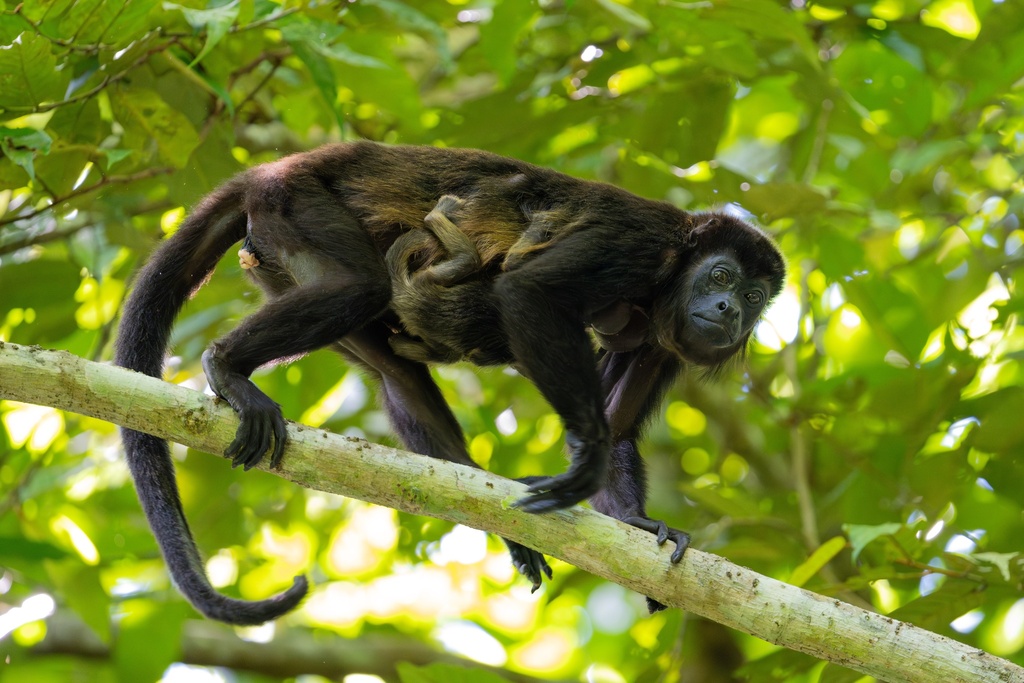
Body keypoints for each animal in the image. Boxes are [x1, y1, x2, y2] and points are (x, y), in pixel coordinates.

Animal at [114, 141, 785, 624]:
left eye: (754, 297)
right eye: (720, 277)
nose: (730, 311)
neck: (674, 270)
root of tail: (278, 166)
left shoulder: (664, 340)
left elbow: (619, 423)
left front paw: (635, 523)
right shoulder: (637, 244)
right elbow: (530, 292)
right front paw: (585, 466)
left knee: (395, 370)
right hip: (293, 202)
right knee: (359, 286)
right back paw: (227, 365)